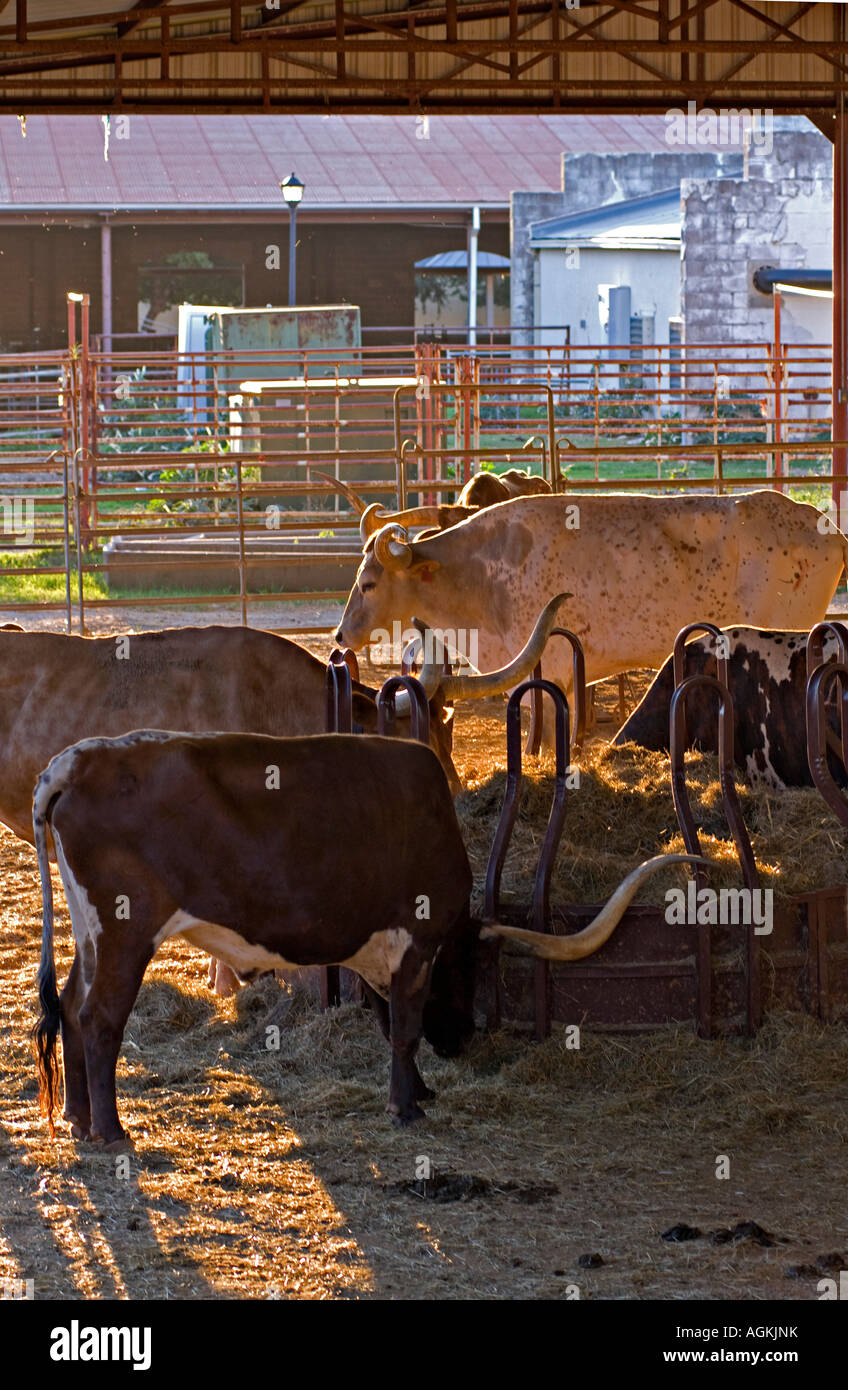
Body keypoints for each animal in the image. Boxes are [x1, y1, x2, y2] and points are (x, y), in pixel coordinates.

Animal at [32, 728, 701, 1147]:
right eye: (469, 971)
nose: (463, 1041)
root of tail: (73, 762)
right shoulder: (415, 942)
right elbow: (403, 1026)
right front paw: (407, 1107)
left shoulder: (379, 951)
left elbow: (388, 1023)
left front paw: (418, 1090)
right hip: (125, 933)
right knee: (99, 1019)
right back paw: (111, 1130)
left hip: (91, 935)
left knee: (69, 1005)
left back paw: (77, 1119)